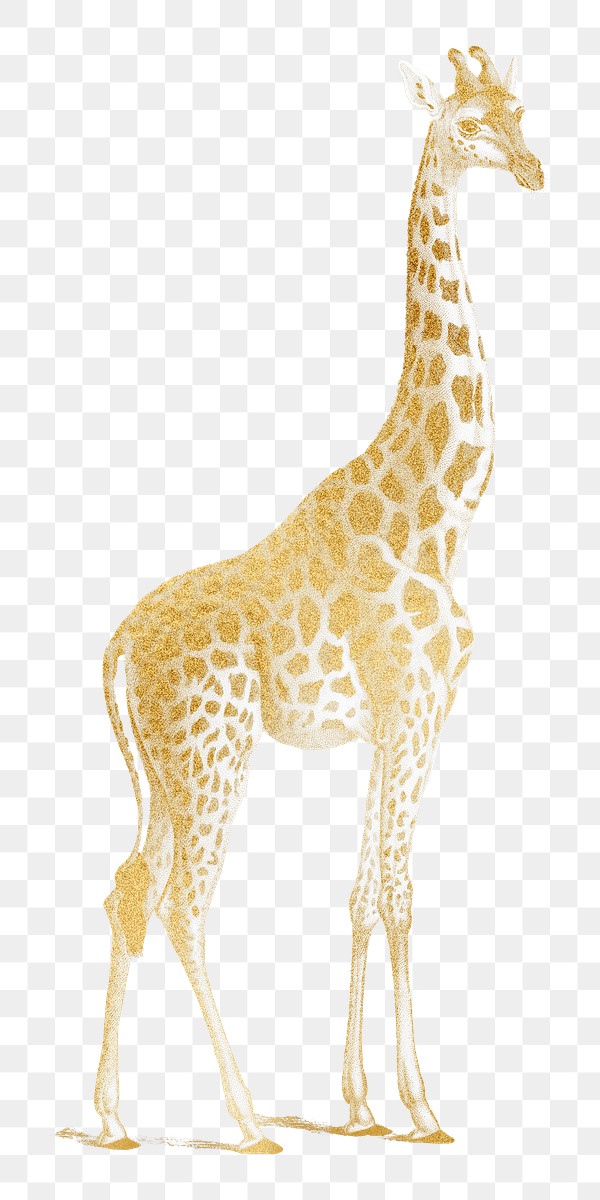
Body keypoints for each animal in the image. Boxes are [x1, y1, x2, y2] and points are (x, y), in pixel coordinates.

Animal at [92, 48, 543, 1152]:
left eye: (520, 110)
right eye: (470, 125)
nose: (534, 169)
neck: (439, 511)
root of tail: (119, 647)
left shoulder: (392, 721)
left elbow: (361, 897)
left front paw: (365, 1103)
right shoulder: (416, 706)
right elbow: (402, 894)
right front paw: (423, 1107)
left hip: (167, 768)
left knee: (129, 888)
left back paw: (113, 1114)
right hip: (214, 754)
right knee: (183, 904)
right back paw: (248, 1117)